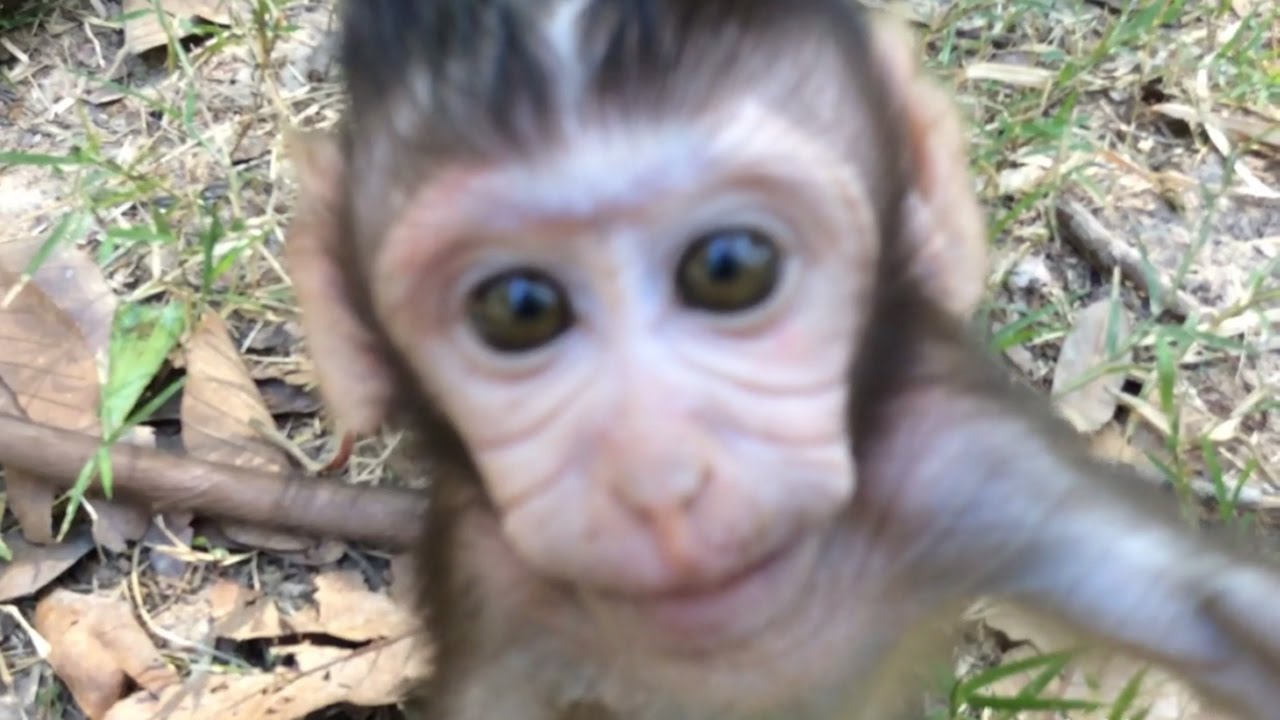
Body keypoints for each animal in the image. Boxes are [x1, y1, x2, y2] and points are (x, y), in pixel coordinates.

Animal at [281, 1, 1280, 718]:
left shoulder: (962, 466)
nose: (658, 479)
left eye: (729, 269)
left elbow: (1213, 618)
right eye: (519, 310)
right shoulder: (492, 585)